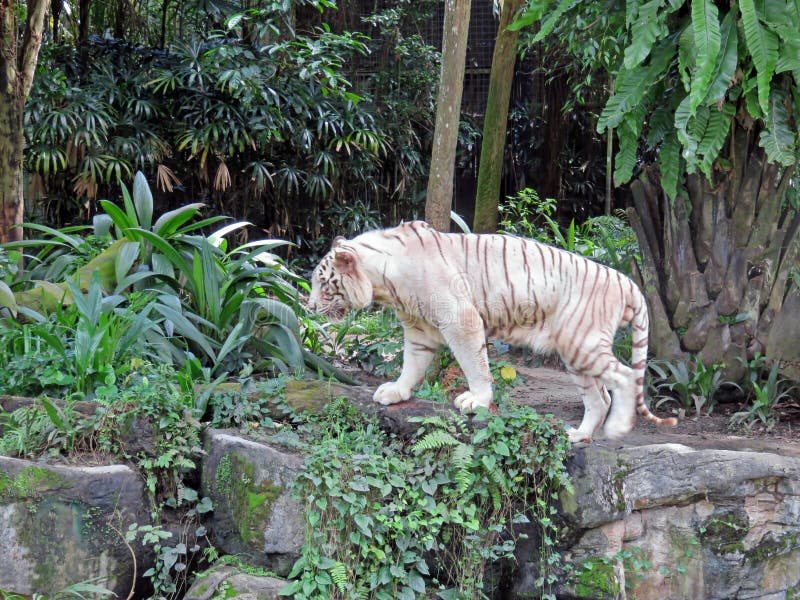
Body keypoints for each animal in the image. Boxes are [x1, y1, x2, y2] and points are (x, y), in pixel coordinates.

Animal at [308, 220, 677, 443]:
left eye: (325, 285)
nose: (308, 307)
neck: (386, 280)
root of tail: (626, 280)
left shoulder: (460, 319)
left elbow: (474, 365)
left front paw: (478, 401)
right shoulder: (418, 328)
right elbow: (411, 365)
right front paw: (396, 392)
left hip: (582, 344)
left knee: (626, 377)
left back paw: (616, 428)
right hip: (576, 353)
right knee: (599, 397)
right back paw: (579, 435)